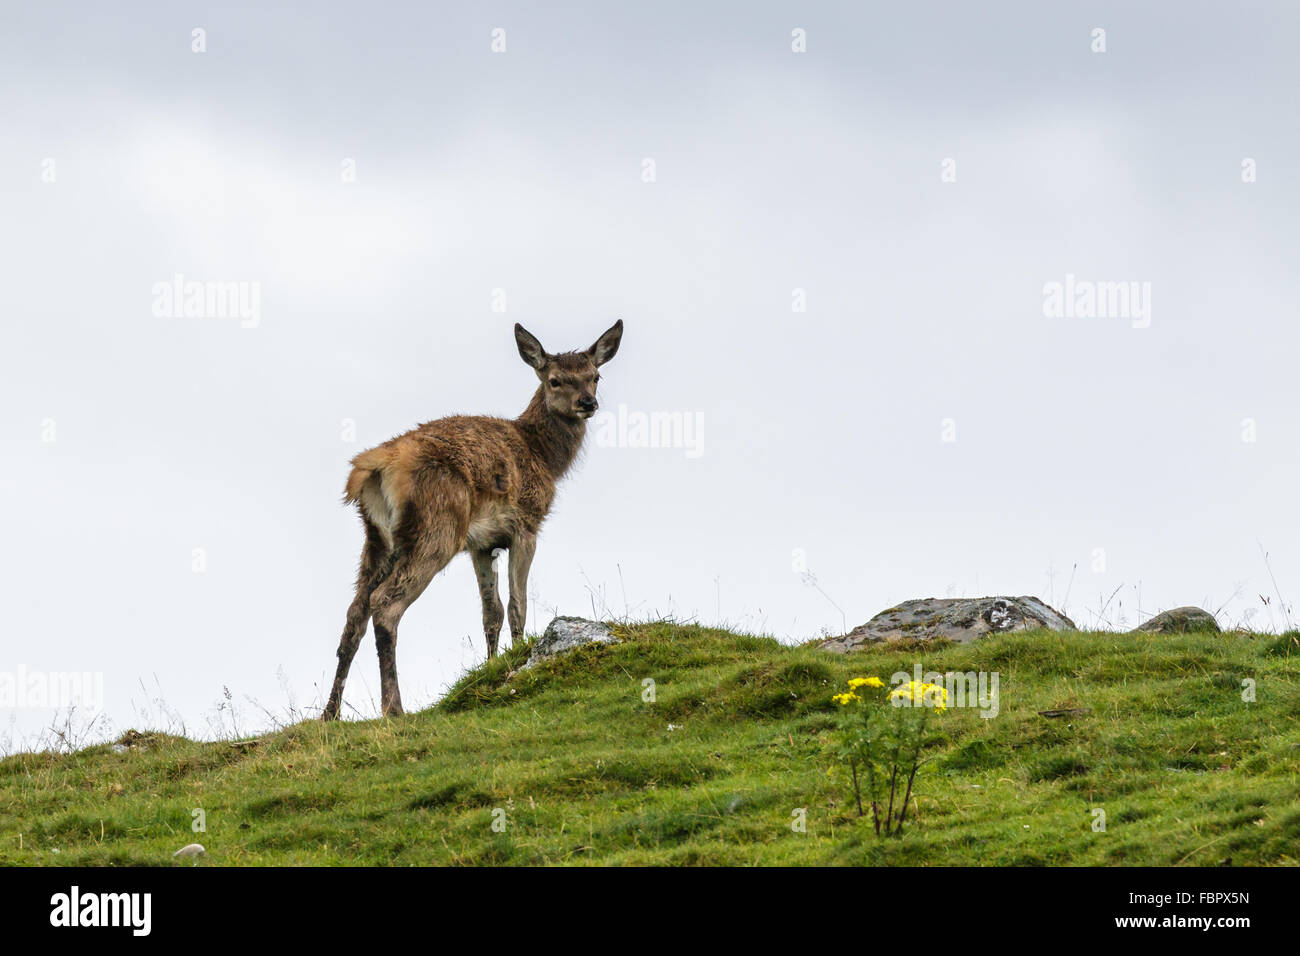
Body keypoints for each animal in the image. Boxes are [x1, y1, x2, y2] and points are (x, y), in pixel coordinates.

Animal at [321, 320, 623, 721]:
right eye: (555, 380)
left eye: (595, 376)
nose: (588, 403)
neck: (545, 458)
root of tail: (373, 467)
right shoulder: (526, 524)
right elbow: (517, 604)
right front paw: (517, 656)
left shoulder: (483, 543)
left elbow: (490, 612)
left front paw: (492, 667)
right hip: (438, 529)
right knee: (384, 604)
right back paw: (394, 708)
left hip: (377, 537)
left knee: (355, 612)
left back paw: (330, 714)